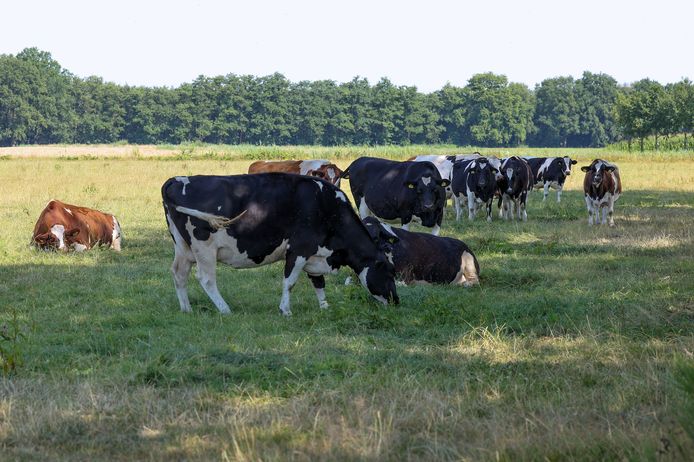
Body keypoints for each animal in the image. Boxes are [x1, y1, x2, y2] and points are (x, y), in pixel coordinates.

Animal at [161, 173, 399, 316]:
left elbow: (318, 282)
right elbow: (290, 282)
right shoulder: (299, 249)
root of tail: (176, 180)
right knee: (206, 279)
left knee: (179, 273)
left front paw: (325, 307)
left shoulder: (314, 253)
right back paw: (225, 309)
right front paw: (286, 310)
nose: (397, 302)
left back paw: (186, 309)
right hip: (204, 248)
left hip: (183, 248)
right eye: (390, 272)